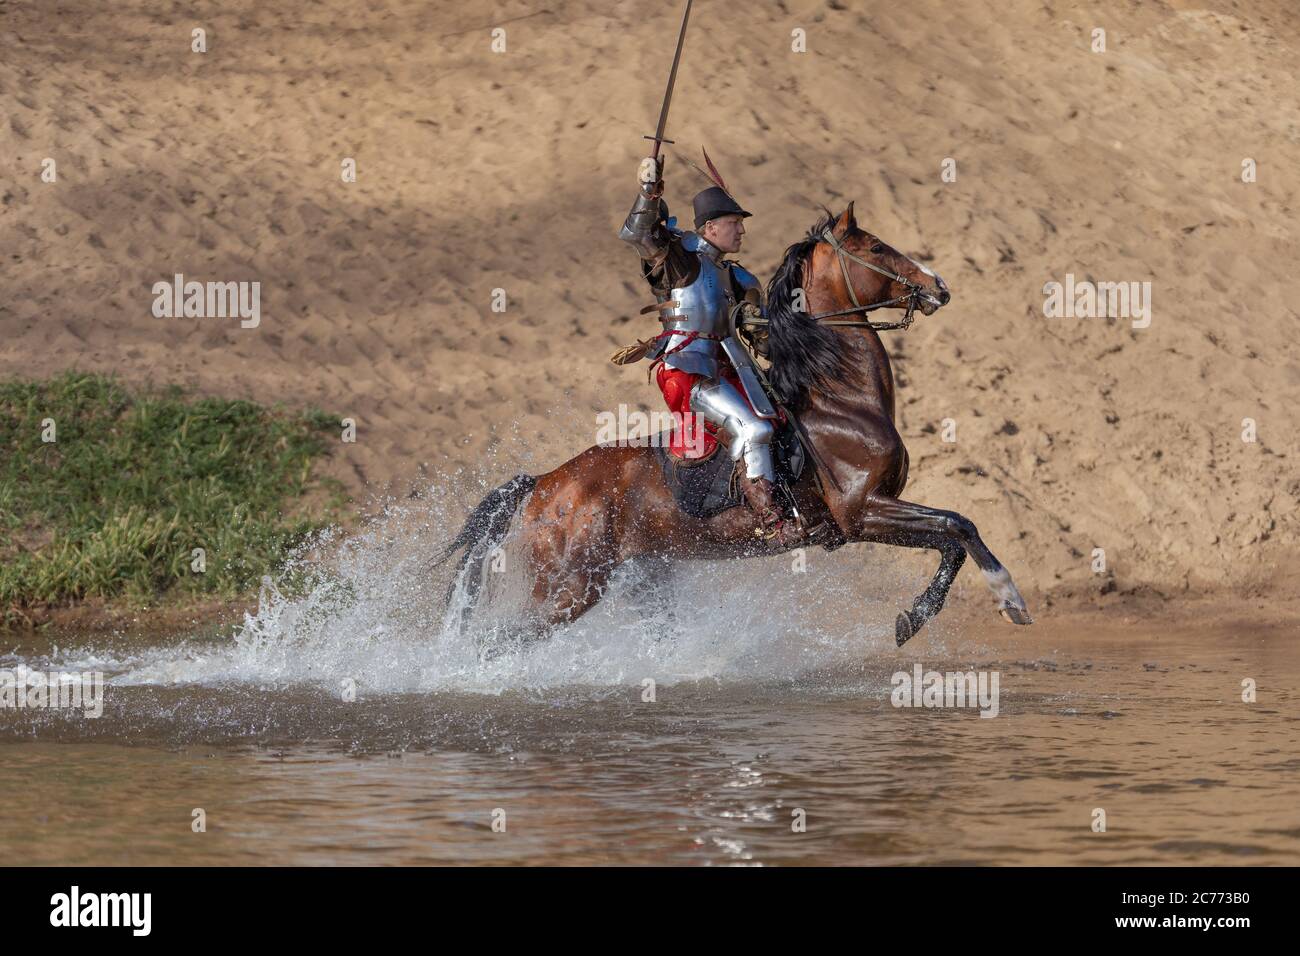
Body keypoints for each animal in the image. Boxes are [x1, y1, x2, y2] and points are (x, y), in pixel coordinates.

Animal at [436, 202, 1032, 647]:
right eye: (876, 248)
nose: (939, 286)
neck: (840, 400)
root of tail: (543, 484)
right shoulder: (863, 512)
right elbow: (959, 526)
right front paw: (1009, 598)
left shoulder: (872, 513)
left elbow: (952, 539)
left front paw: (914, 618)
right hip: (566, 589)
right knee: (498, 641)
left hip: (637, 580)